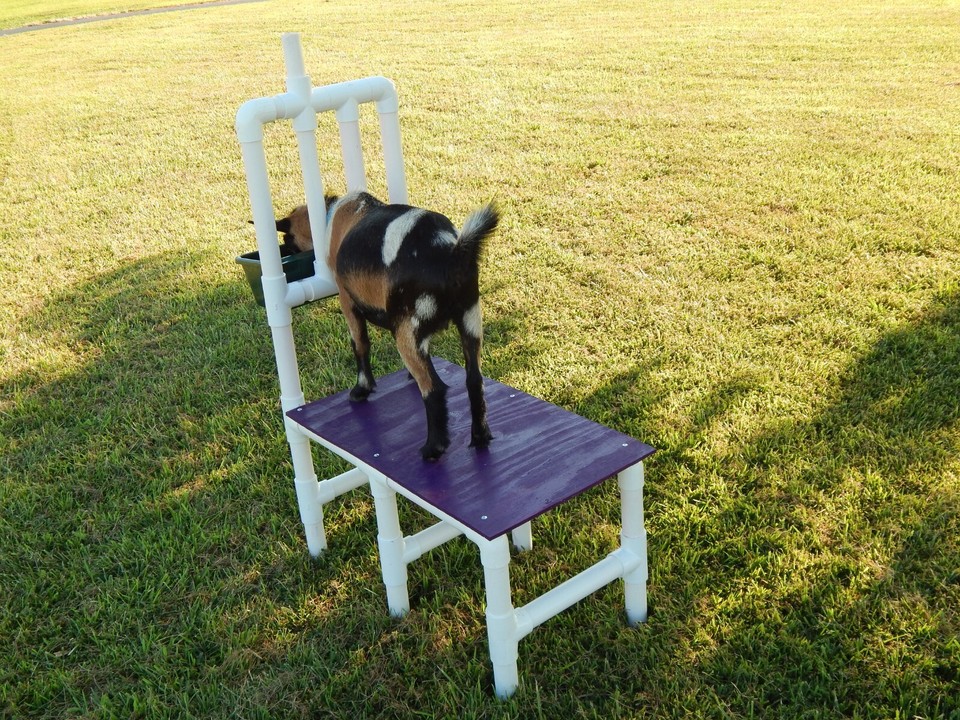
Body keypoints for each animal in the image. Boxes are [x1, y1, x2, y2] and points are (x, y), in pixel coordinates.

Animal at [275, 192, 499, 460]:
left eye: (288, 236)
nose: (285, 249)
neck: (334, 213)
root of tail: (451, 253)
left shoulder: (347, 300)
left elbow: (359, 344)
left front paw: (361, 390)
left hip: (407, 331)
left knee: (433, 389)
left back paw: (433, 448)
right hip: (470, 318)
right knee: (474, 380)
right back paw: (480, 437)